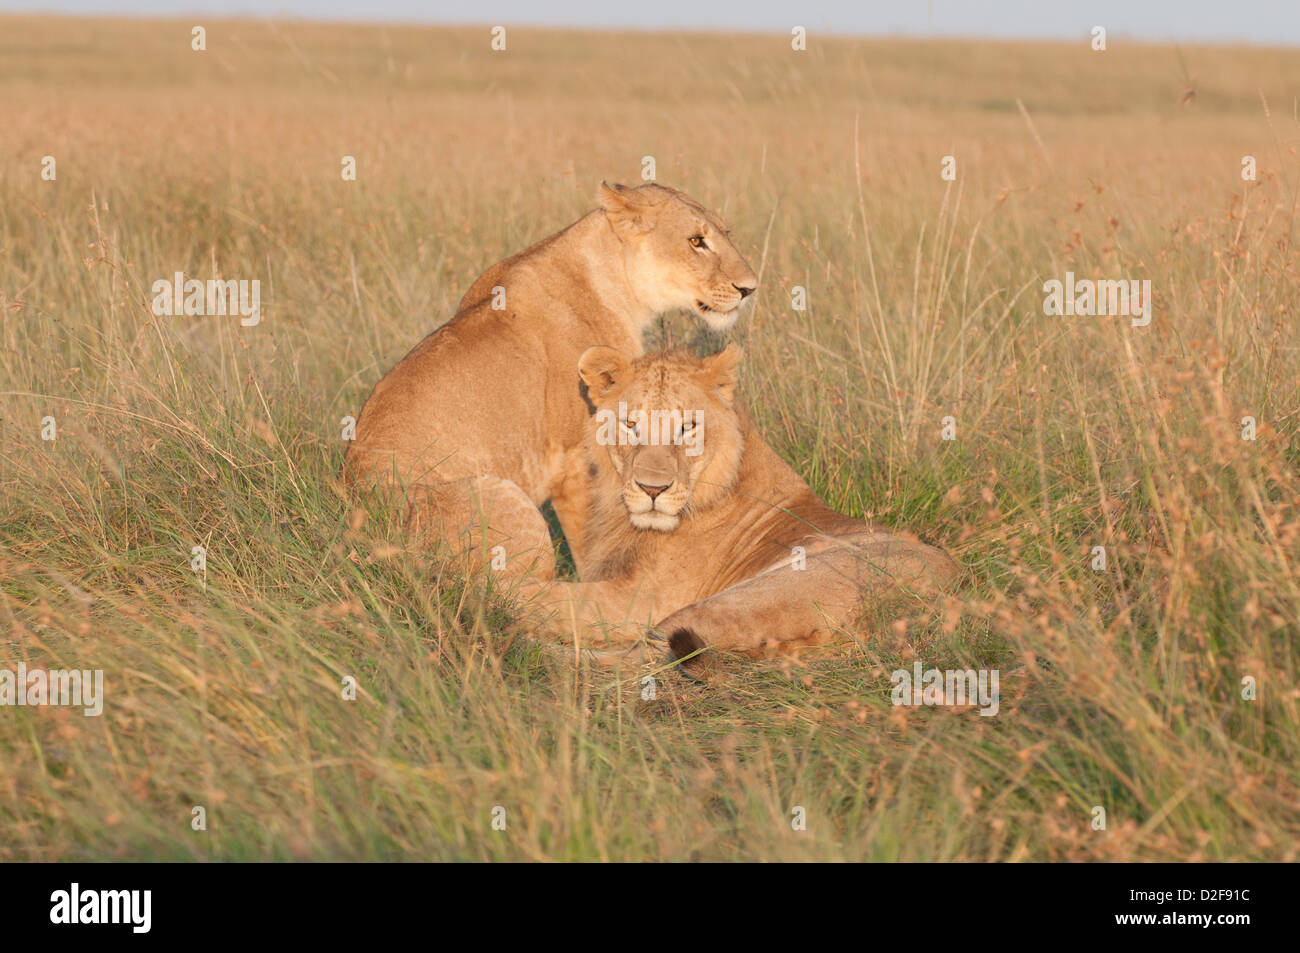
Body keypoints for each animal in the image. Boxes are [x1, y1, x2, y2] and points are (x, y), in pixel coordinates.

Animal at [518, 345, 961, 673]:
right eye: (630, 425)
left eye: (688, 427)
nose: (652, 489)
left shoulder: (637, 598)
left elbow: (545, 597)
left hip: (733, 600)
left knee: (640, 661)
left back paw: (537, 650)